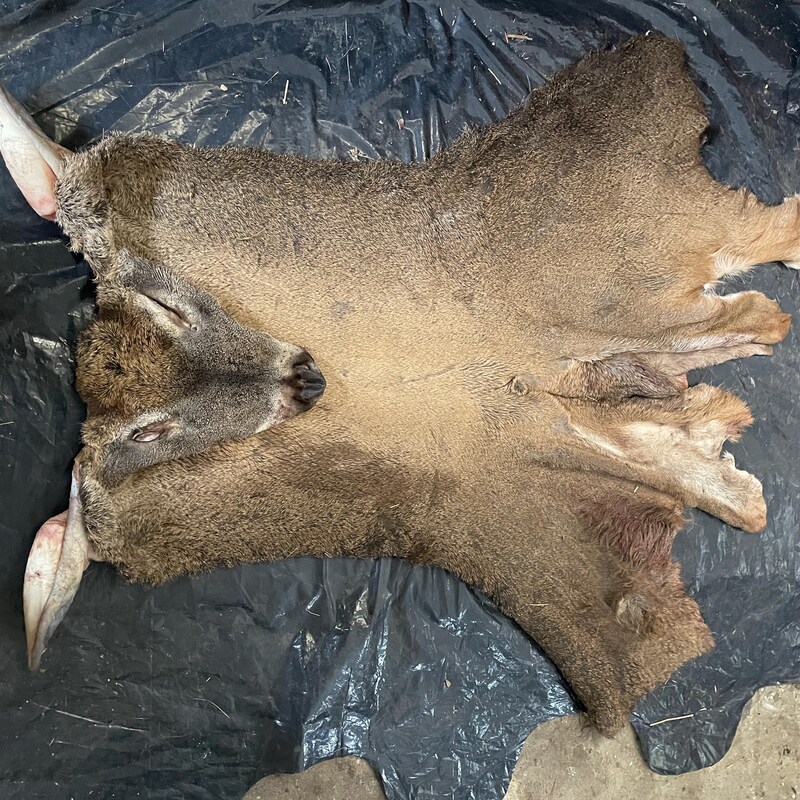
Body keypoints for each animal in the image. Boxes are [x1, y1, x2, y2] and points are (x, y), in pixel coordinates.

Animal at [2, 33, 798, 735]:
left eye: (166, 304)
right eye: (149, 432)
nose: (305, 377)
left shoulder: (102, 189)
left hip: (636, 238)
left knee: (755, 254)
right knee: (750, 335)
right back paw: (733, 445)